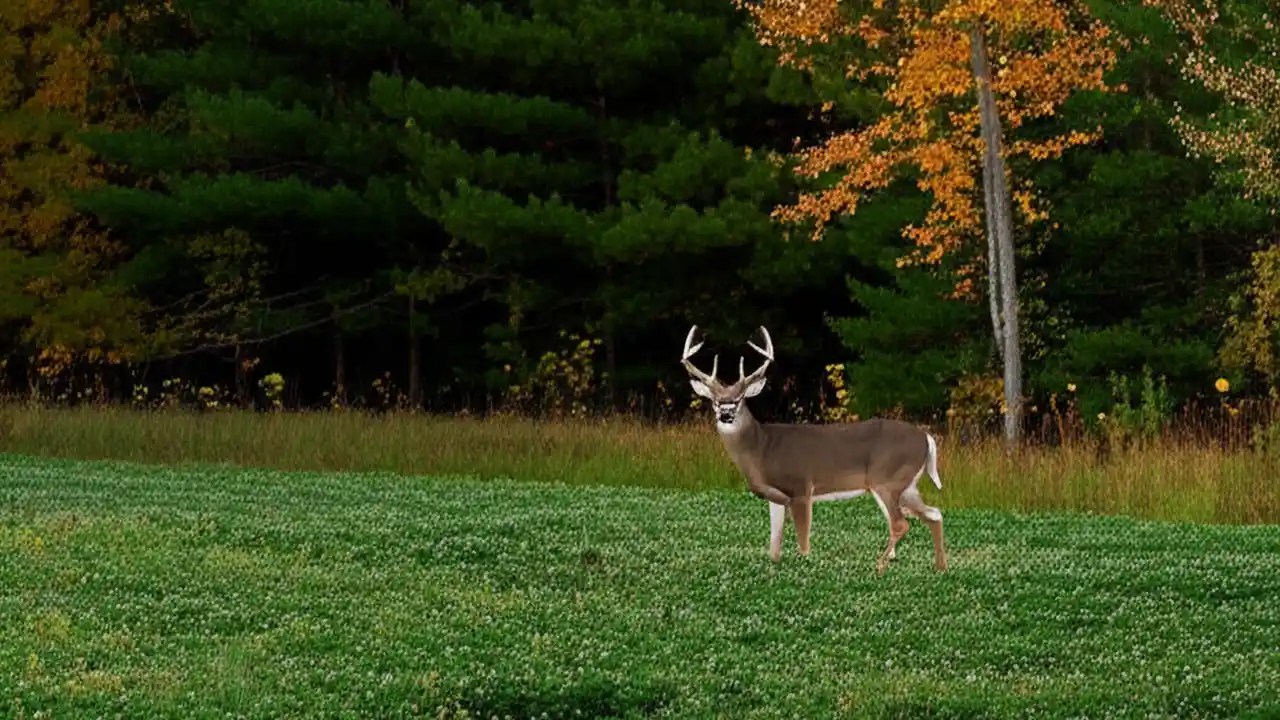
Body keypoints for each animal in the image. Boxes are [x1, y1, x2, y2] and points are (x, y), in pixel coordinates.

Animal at [680, 324, 948, 573]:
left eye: (740, 399)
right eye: (715, 401)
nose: (726, 413)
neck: (762, 448)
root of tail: (927, 438)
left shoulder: (801, 487)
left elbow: (804, 543)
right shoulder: (774, 495)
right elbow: (774, 547)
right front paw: (775, 561)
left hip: (886, 479)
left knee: (900, 523)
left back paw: (880, 565)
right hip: (907, 485)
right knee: (935, 514)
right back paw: (940, 567)